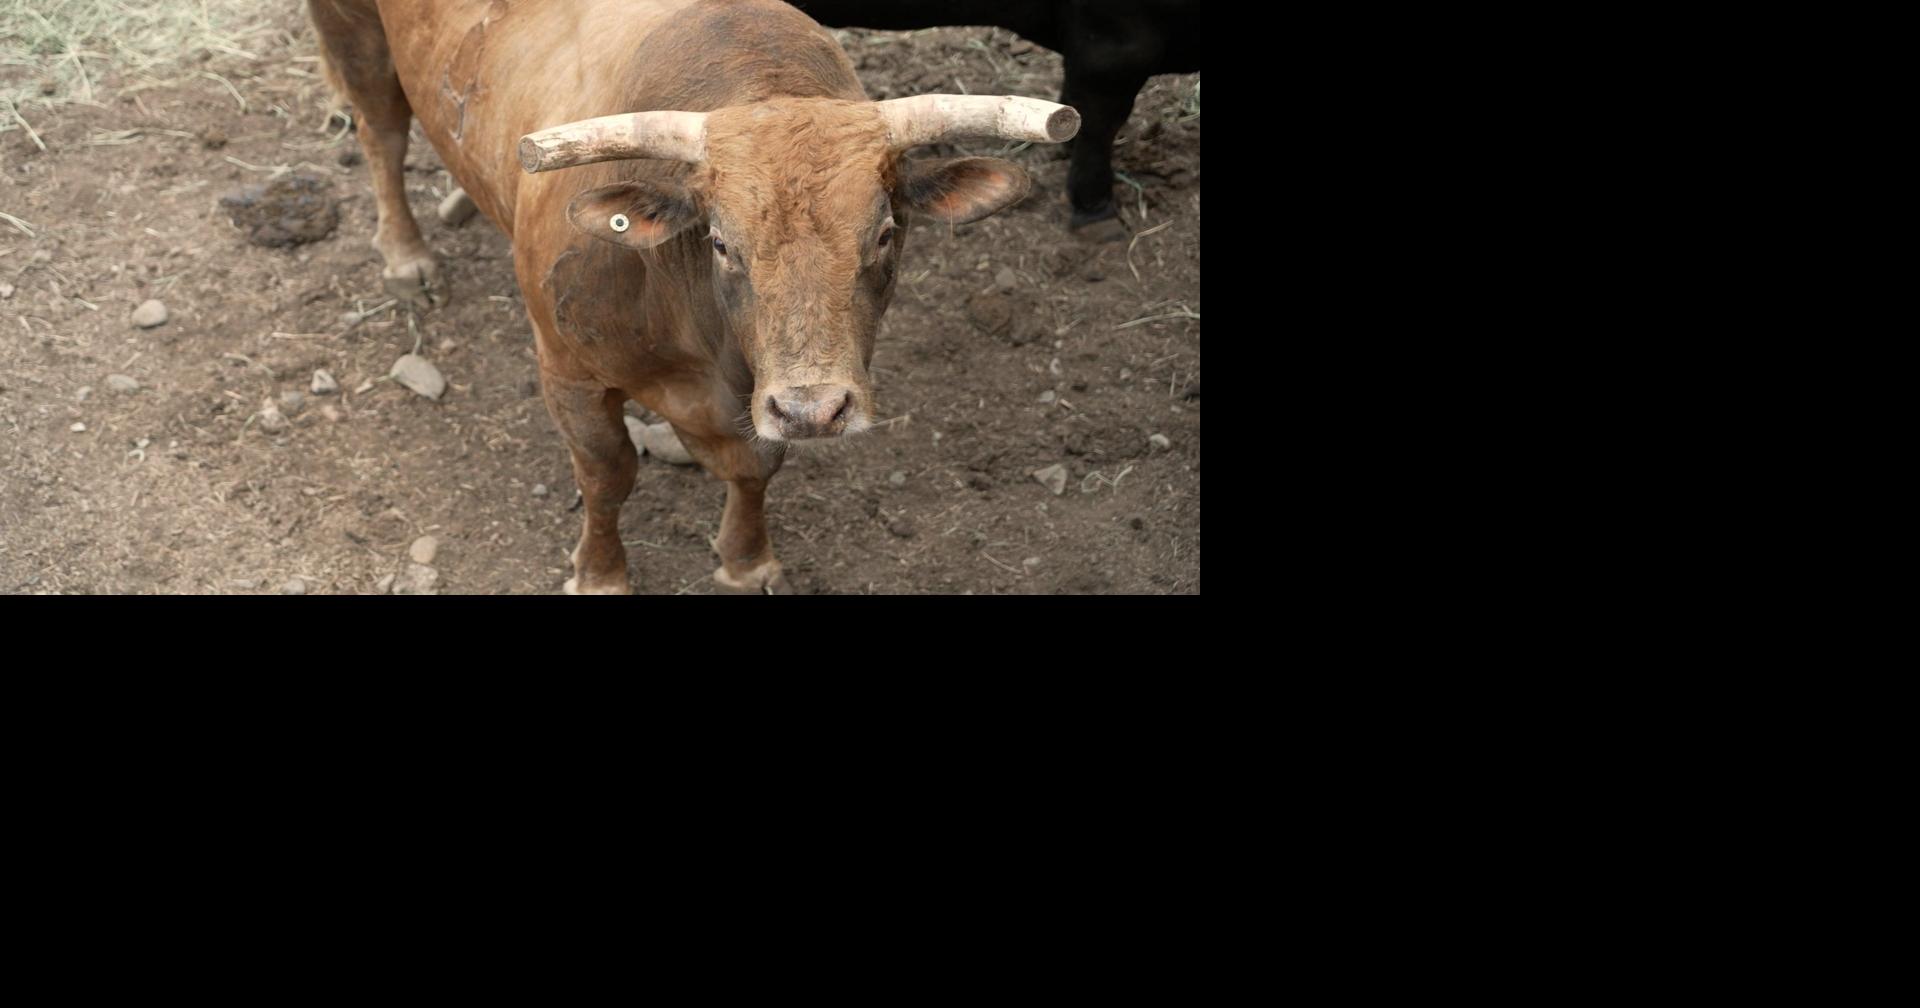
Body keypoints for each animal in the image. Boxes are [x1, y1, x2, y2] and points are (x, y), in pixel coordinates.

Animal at [307, 0, 1077, 594]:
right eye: (721, 242)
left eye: (885, 233)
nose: (814, 410)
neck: (694, 331)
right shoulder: (568, 372)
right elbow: (608, 474)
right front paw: (601, 573)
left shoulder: (753, 393)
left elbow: (757, 464)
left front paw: (747, 561)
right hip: (354, 30)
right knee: (381, 127)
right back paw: (405, 256)